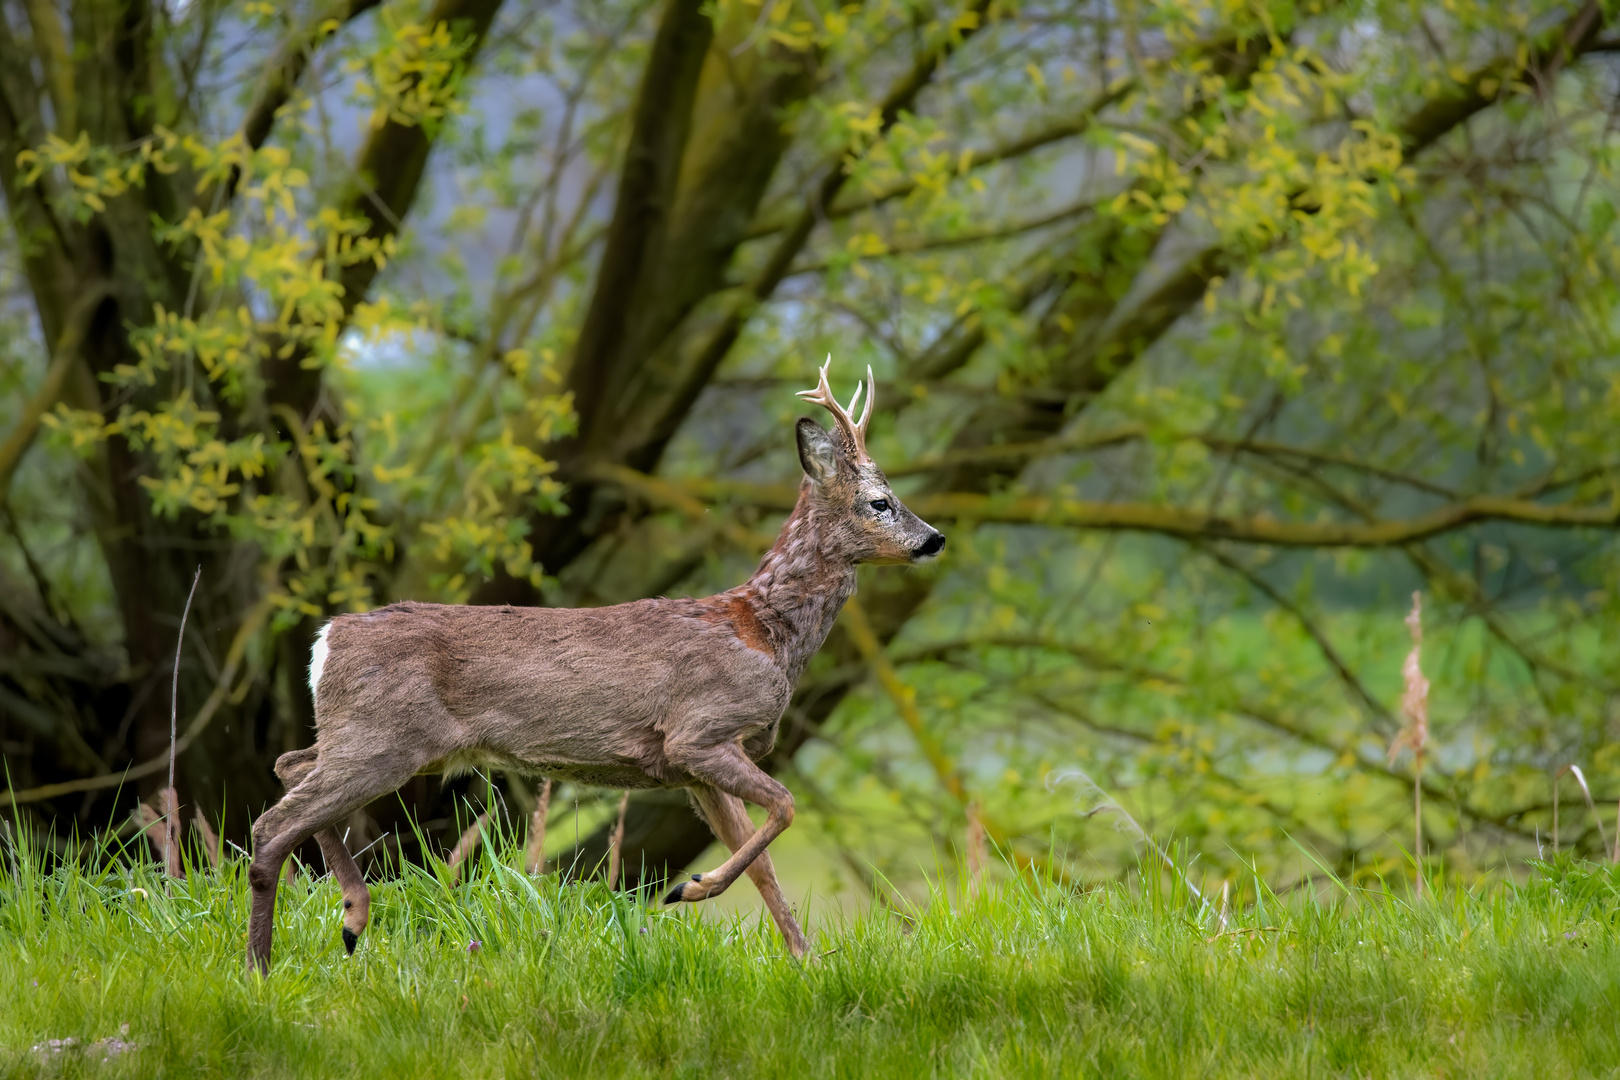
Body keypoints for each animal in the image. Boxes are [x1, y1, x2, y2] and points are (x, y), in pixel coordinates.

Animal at [246, 361, 946, 971]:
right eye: (880, 502)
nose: (935, 538)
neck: (766, 633)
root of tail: (326, 638)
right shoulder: (701, 730)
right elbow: (786, 808)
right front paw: (690, 890)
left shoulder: (690, 769)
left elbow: (766, 863)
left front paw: (804, 961)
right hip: (383, 738)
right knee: (272, 823)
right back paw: (262, 965)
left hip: (368, 737)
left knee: (289, 767)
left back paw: (351, 916)